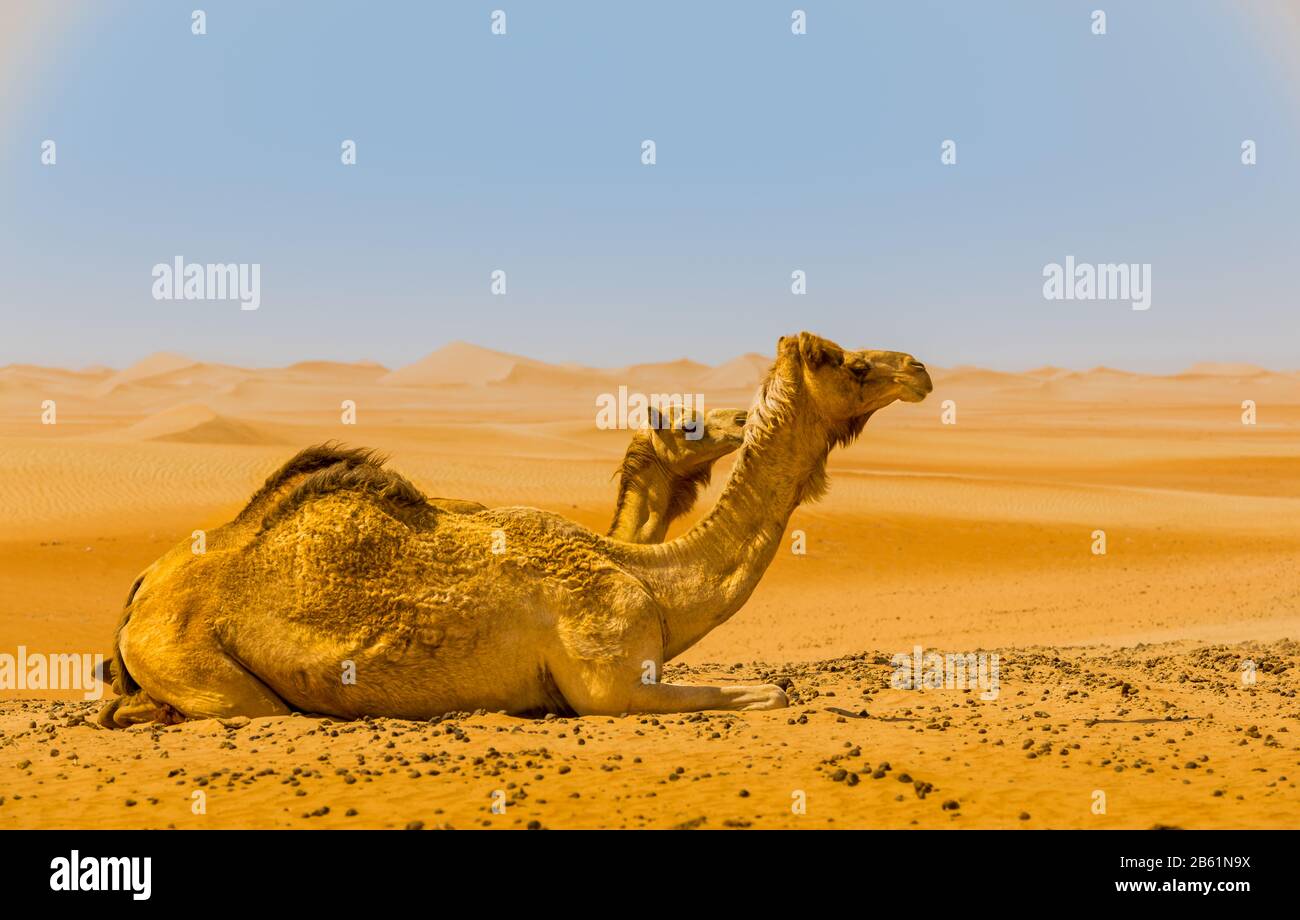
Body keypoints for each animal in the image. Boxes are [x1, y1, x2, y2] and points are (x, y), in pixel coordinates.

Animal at [100, 332, 930, 725]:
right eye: (847, 363)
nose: (918, 368)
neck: (651, 577)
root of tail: (138, 593)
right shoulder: (611, 685)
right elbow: (775, 692)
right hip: (208, 673)